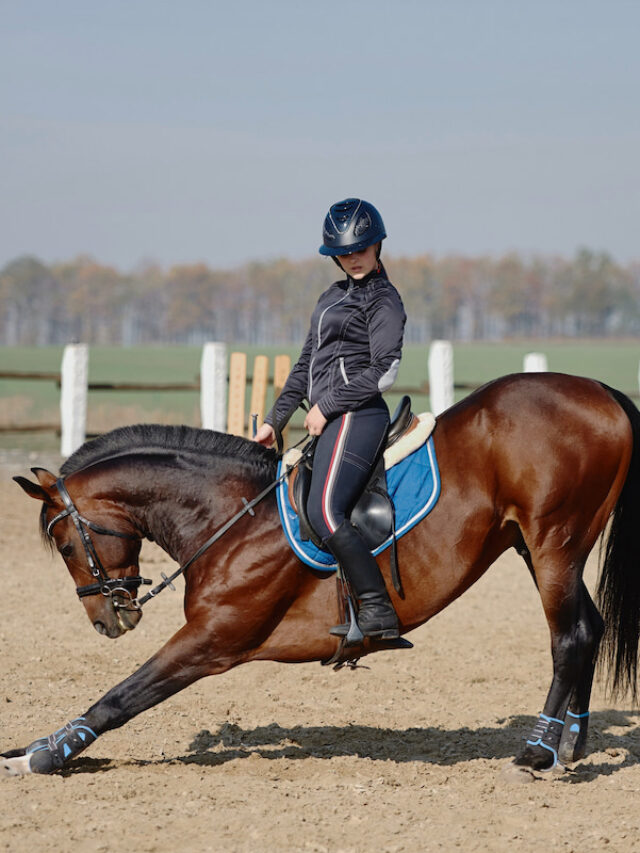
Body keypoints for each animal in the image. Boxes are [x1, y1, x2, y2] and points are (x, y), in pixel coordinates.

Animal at [2, 372, 640, 780]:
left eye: (65, 544)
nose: (107, 619)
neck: (234, 515)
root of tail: (597, 390)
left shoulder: (213, 638)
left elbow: (121, 697)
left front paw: (41, 755)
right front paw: (31, 750)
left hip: (553, 541)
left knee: (568, 638)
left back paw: (536, 754)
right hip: (536, 547)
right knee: (589, 627)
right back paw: (570, 743)